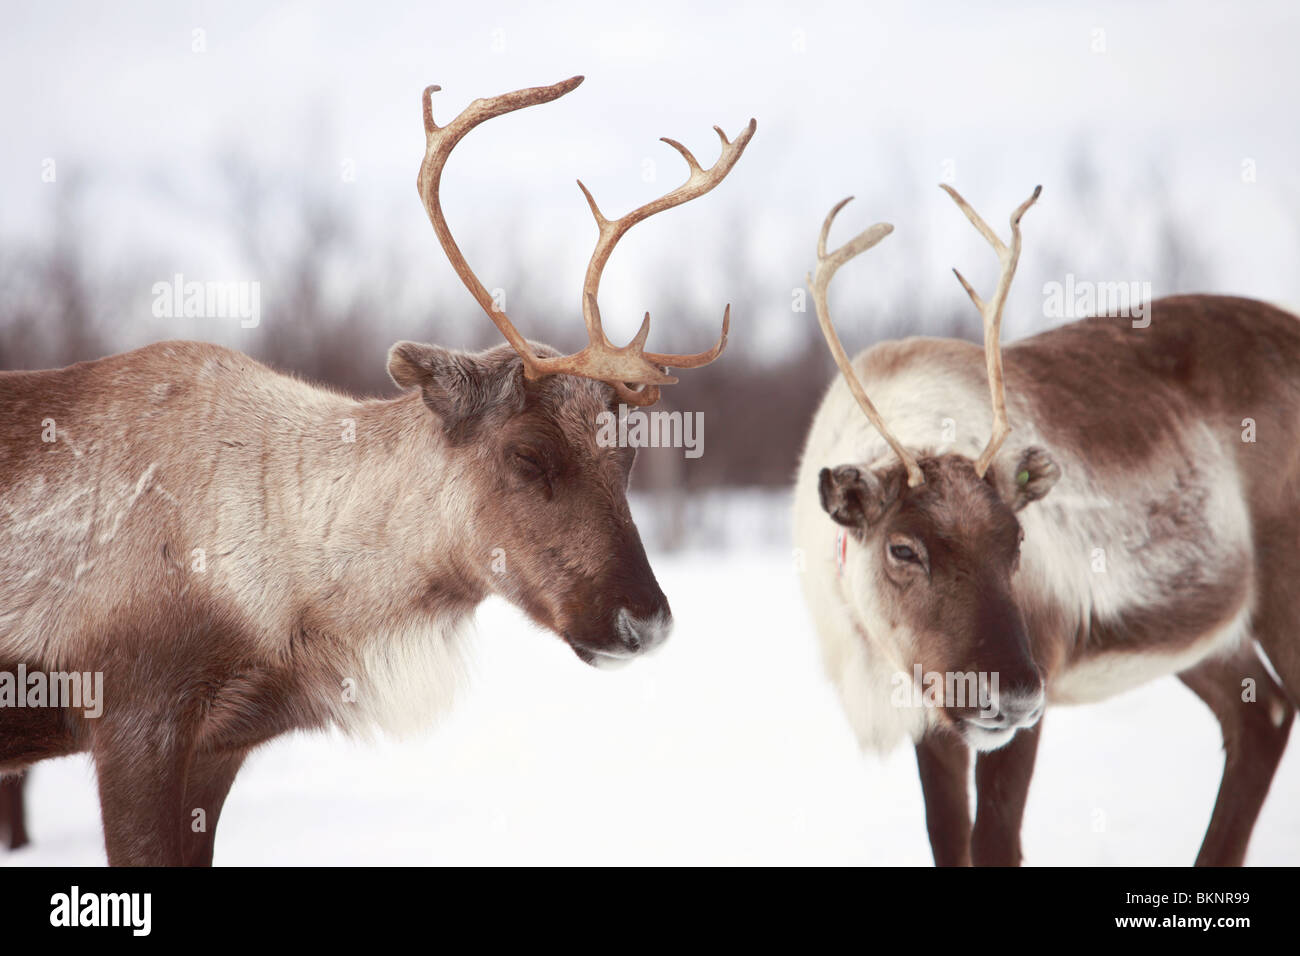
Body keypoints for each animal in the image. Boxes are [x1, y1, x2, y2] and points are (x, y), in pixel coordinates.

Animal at [793, 184, 1299, 866]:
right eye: (903, 548)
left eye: (1018, 539)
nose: (1011, 694)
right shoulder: (937, 709)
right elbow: (947, 837)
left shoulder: (1040, 665)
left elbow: (995, 841)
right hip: (1210, 631)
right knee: (1260, 715)